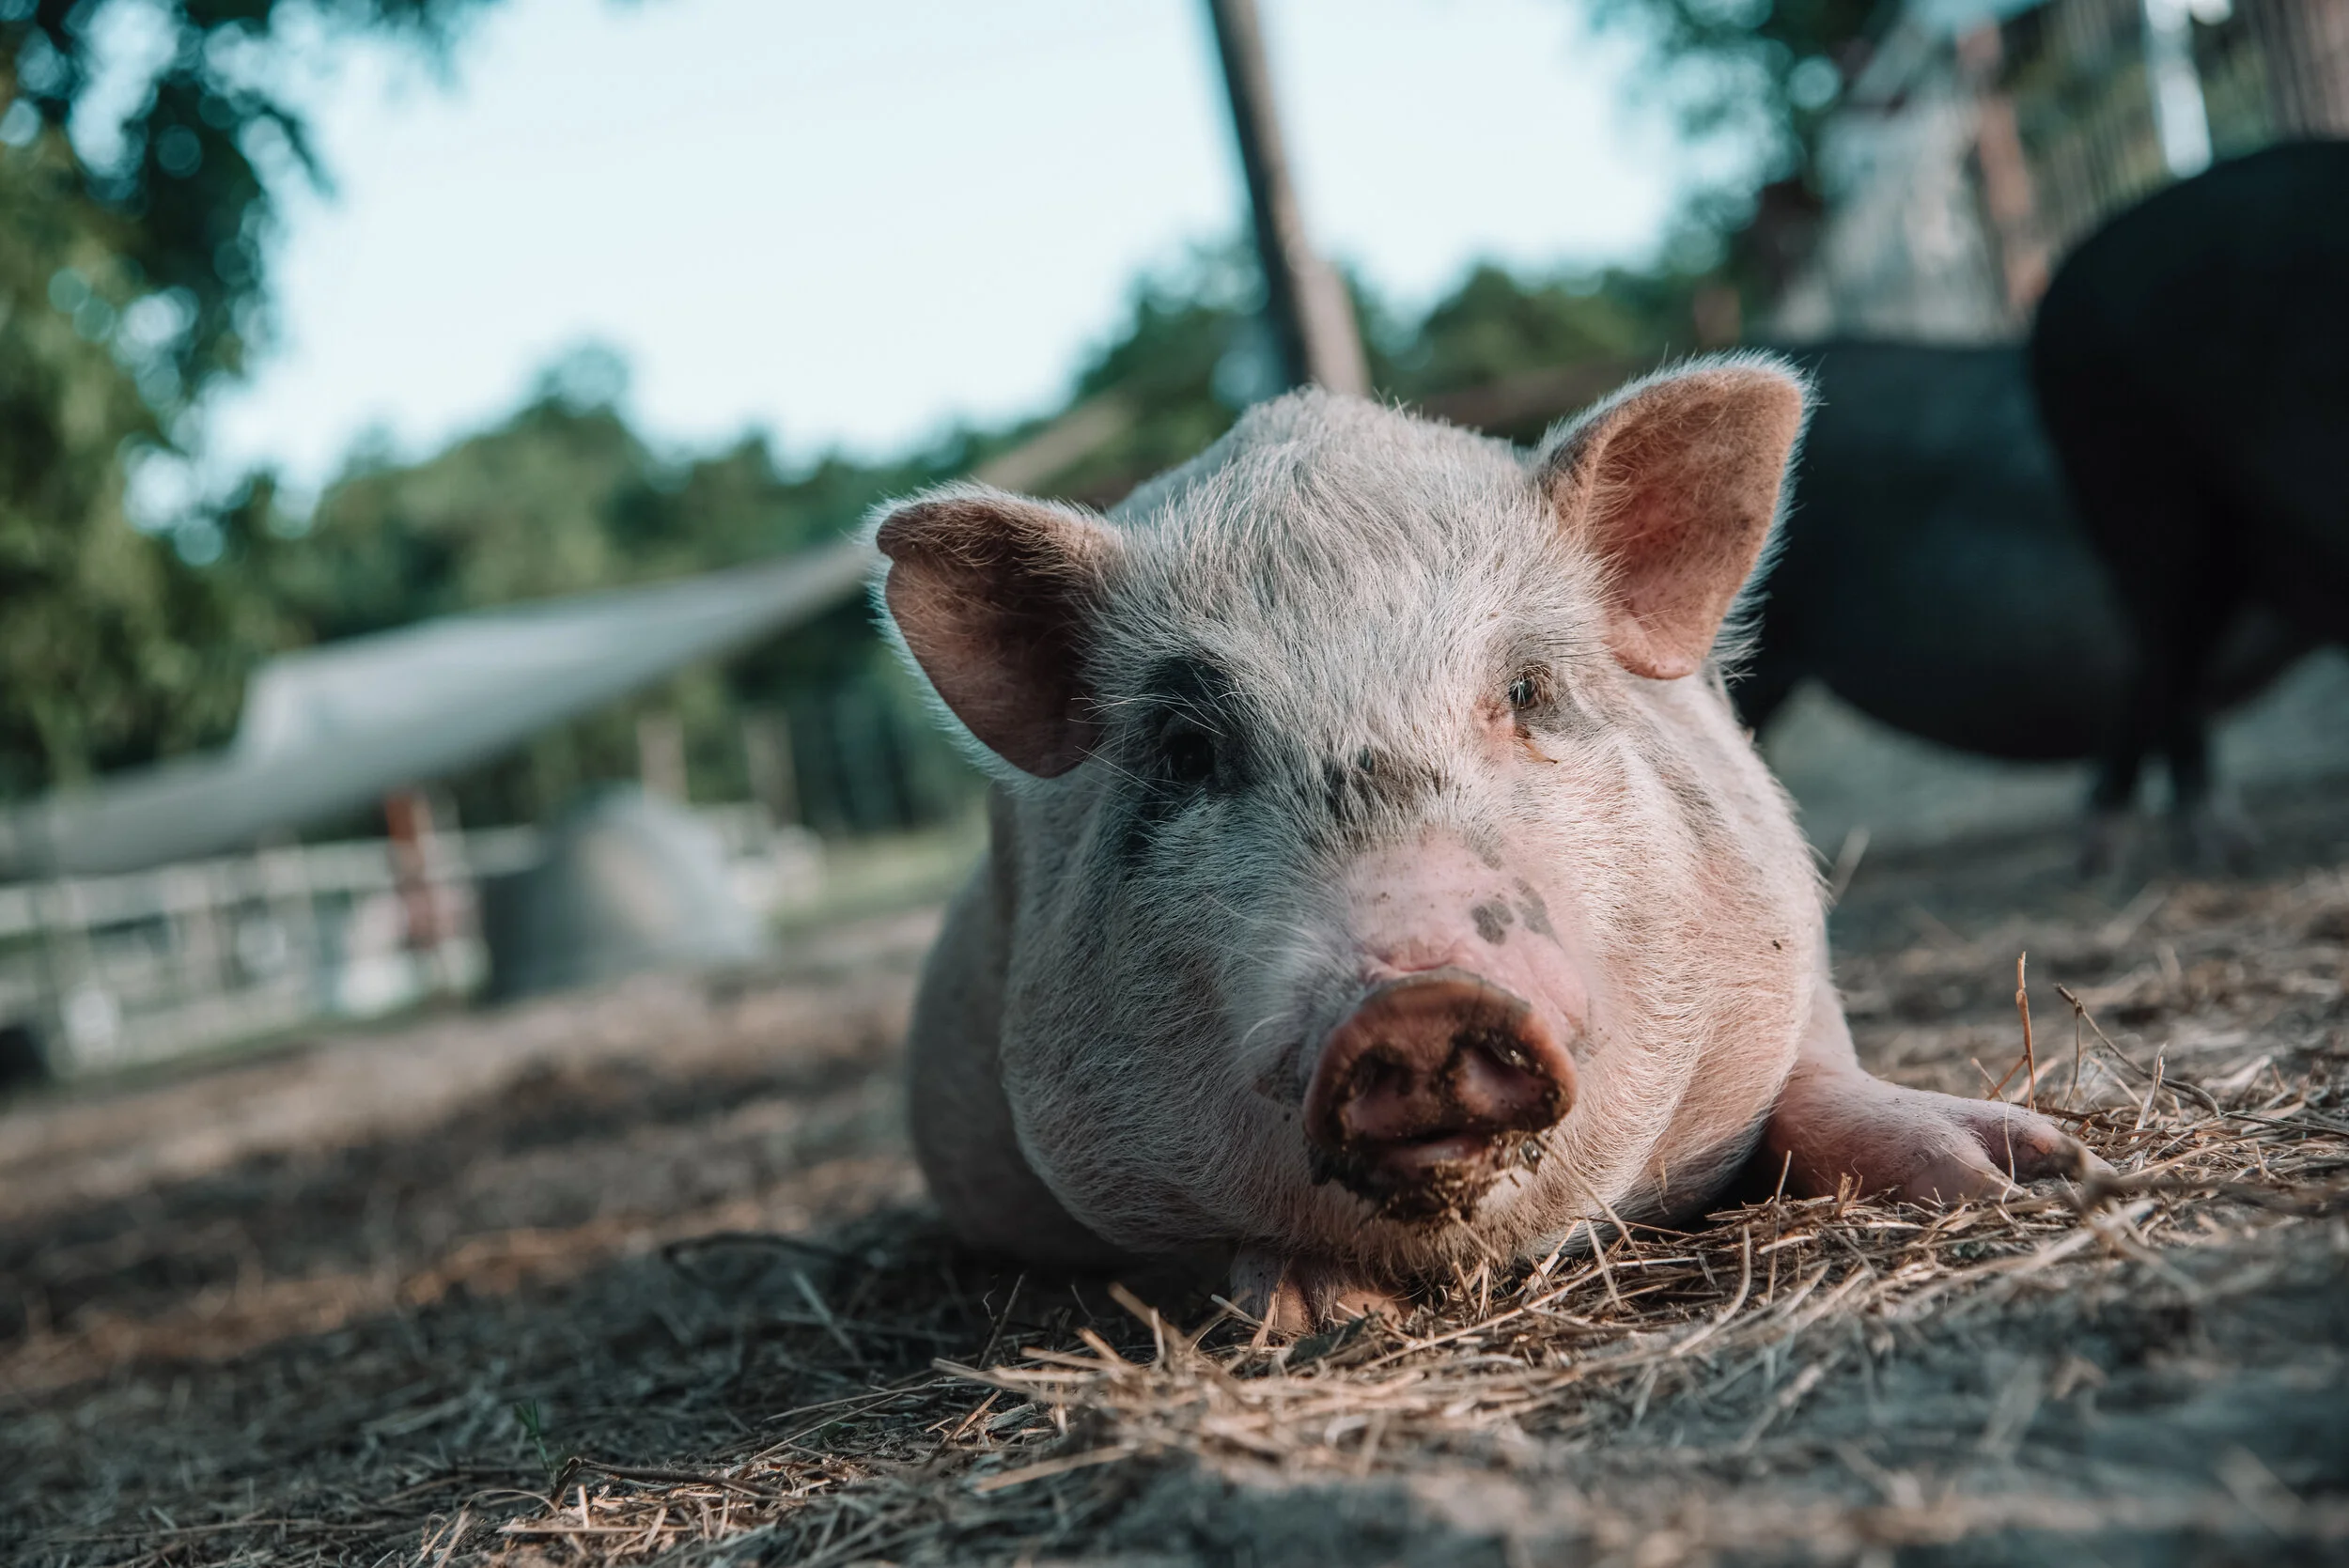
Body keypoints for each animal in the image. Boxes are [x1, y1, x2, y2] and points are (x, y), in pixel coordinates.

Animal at [870, 359, 2089, 1331]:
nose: (1414, 998)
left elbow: (1815, 1082)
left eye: (1529, 690)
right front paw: (1318, 1314)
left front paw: (2039, 1173)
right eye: (1183, 751)